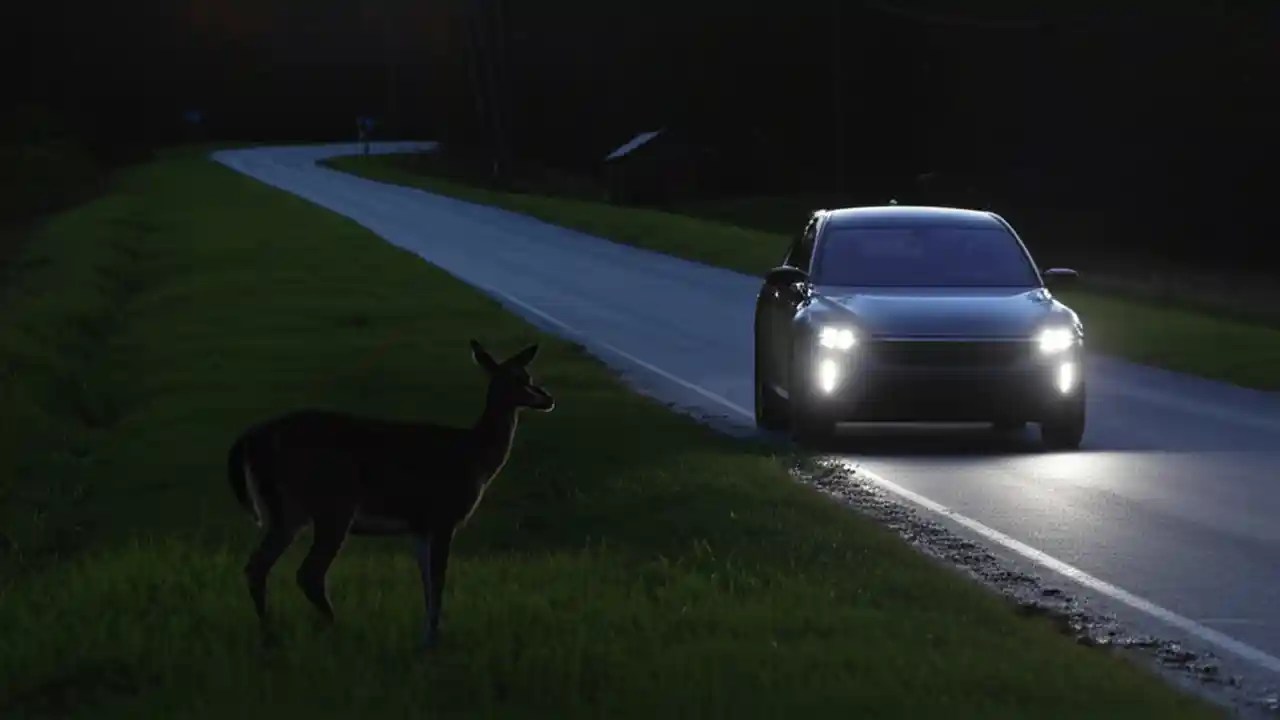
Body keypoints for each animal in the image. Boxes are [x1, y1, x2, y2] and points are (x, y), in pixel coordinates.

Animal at [226, 339, 554, 649]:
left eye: (527, 375)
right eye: (518, 379)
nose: (547, 398)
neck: (474, 457)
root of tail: (250, 439)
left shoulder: (420, 526)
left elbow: (427, 583)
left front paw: (426, 637)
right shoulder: (443, 516)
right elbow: (438, 581)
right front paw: (432, 642)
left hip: (286, 511)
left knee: (257, 567)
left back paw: (269, 633)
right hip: (333, 502)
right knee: (308, 572)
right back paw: (335, 627)